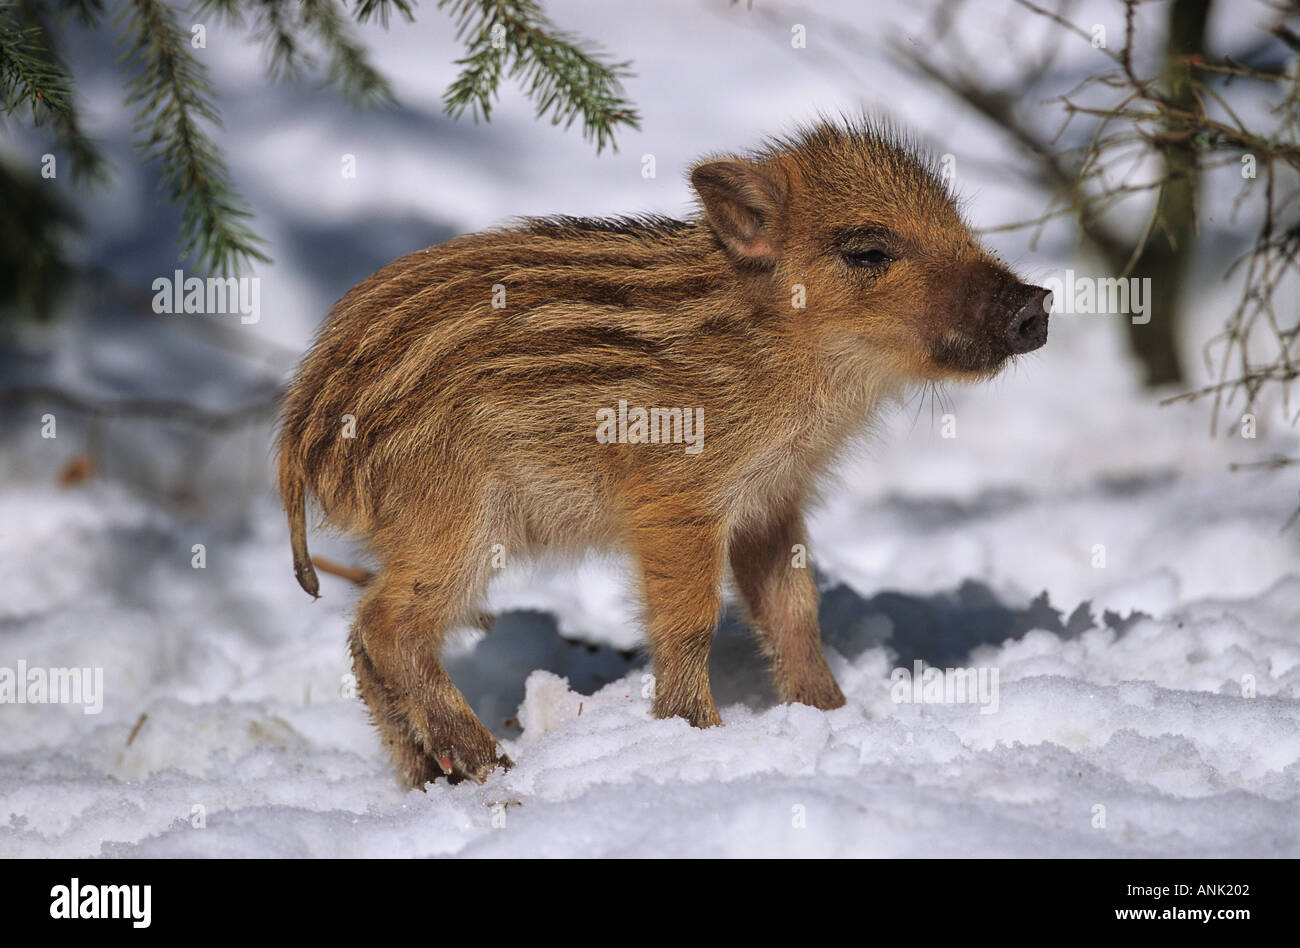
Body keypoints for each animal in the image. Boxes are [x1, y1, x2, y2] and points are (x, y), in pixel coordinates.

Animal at [276, 118, 1050, 788]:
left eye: (957, 223)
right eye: (868, 251)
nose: (1036, 305)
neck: (787, 356)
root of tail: (300, 430)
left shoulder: (772, 499)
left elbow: (794, 607)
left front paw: (829, 713)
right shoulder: (678, 498)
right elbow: (691, 620)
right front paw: (696, 733)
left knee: (362, 642)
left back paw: (428, 781)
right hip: (454, 517)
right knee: (387, 629)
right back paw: (493, 768)